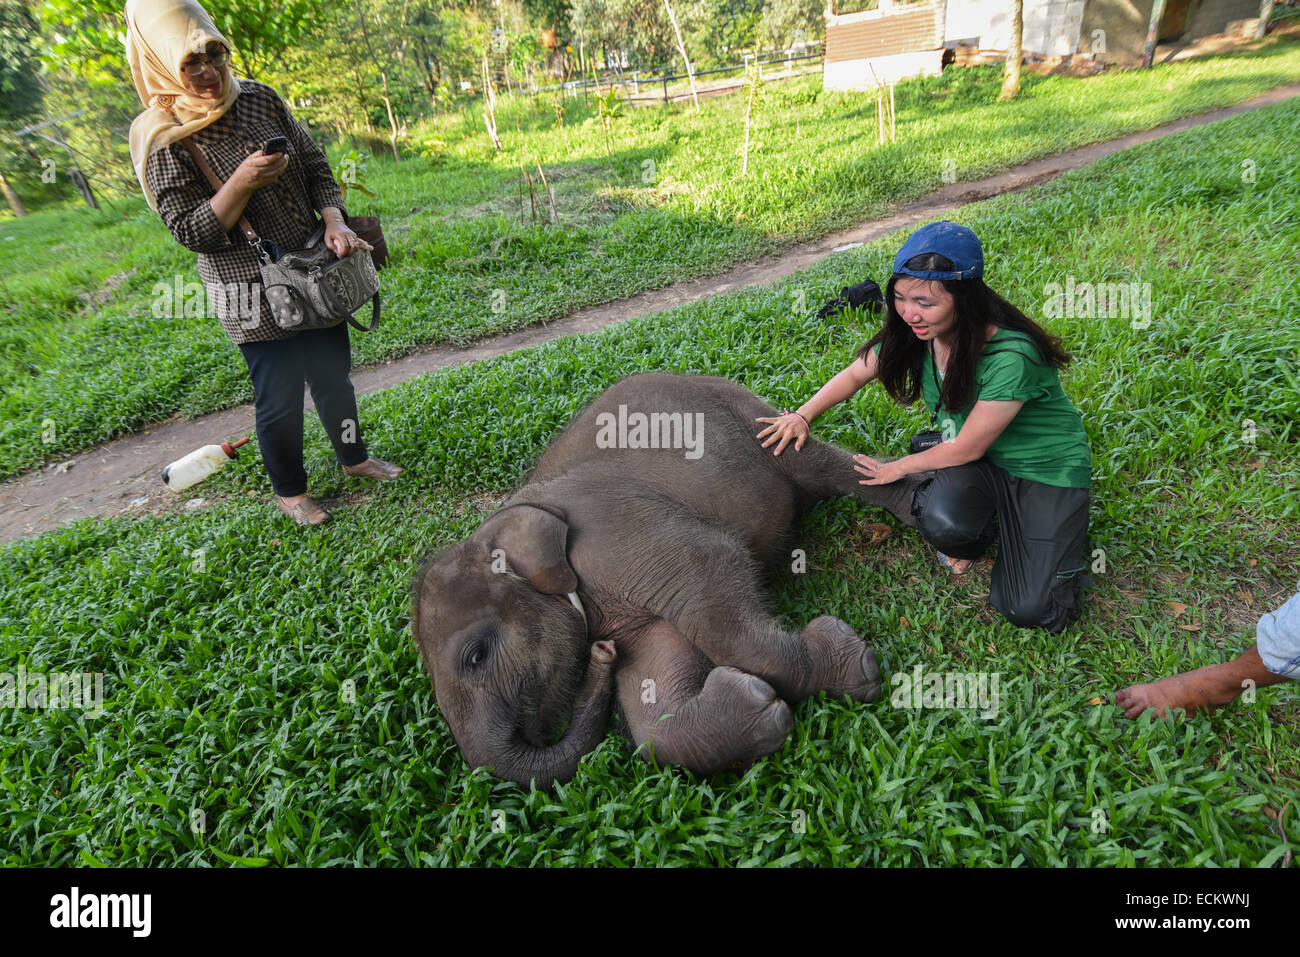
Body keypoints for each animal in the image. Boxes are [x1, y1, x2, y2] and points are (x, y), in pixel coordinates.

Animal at [411, 373, 922, 789]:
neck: (499, 523)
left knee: (813, 460)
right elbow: (652, 698)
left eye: (476, 655)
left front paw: (855, 663)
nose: (602, 653)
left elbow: (714, 566)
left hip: (757, 423)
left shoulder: (612, 533)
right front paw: (760, 707)